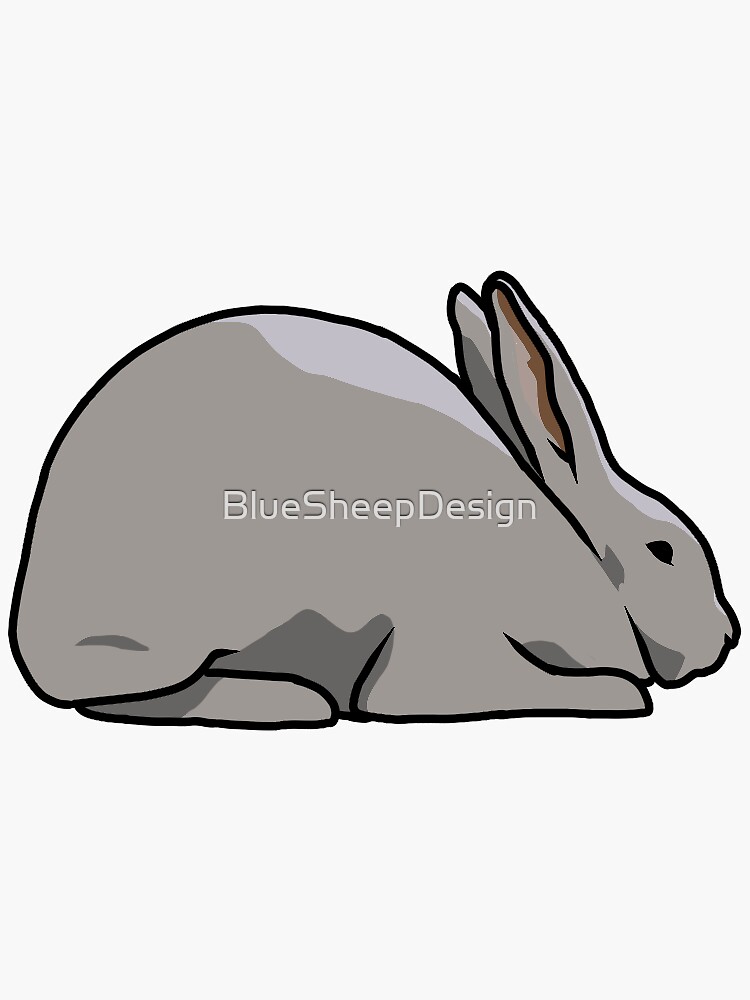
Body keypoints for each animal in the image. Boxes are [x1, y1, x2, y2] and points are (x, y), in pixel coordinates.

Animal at [9, 271, 739, 727]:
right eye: (664, 551)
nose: (729, 635)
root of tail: (31, 626)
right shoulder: (447, 653)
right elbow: (602, 693)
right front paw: (618, 689)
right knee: (126, 694)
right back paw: (290, 702)